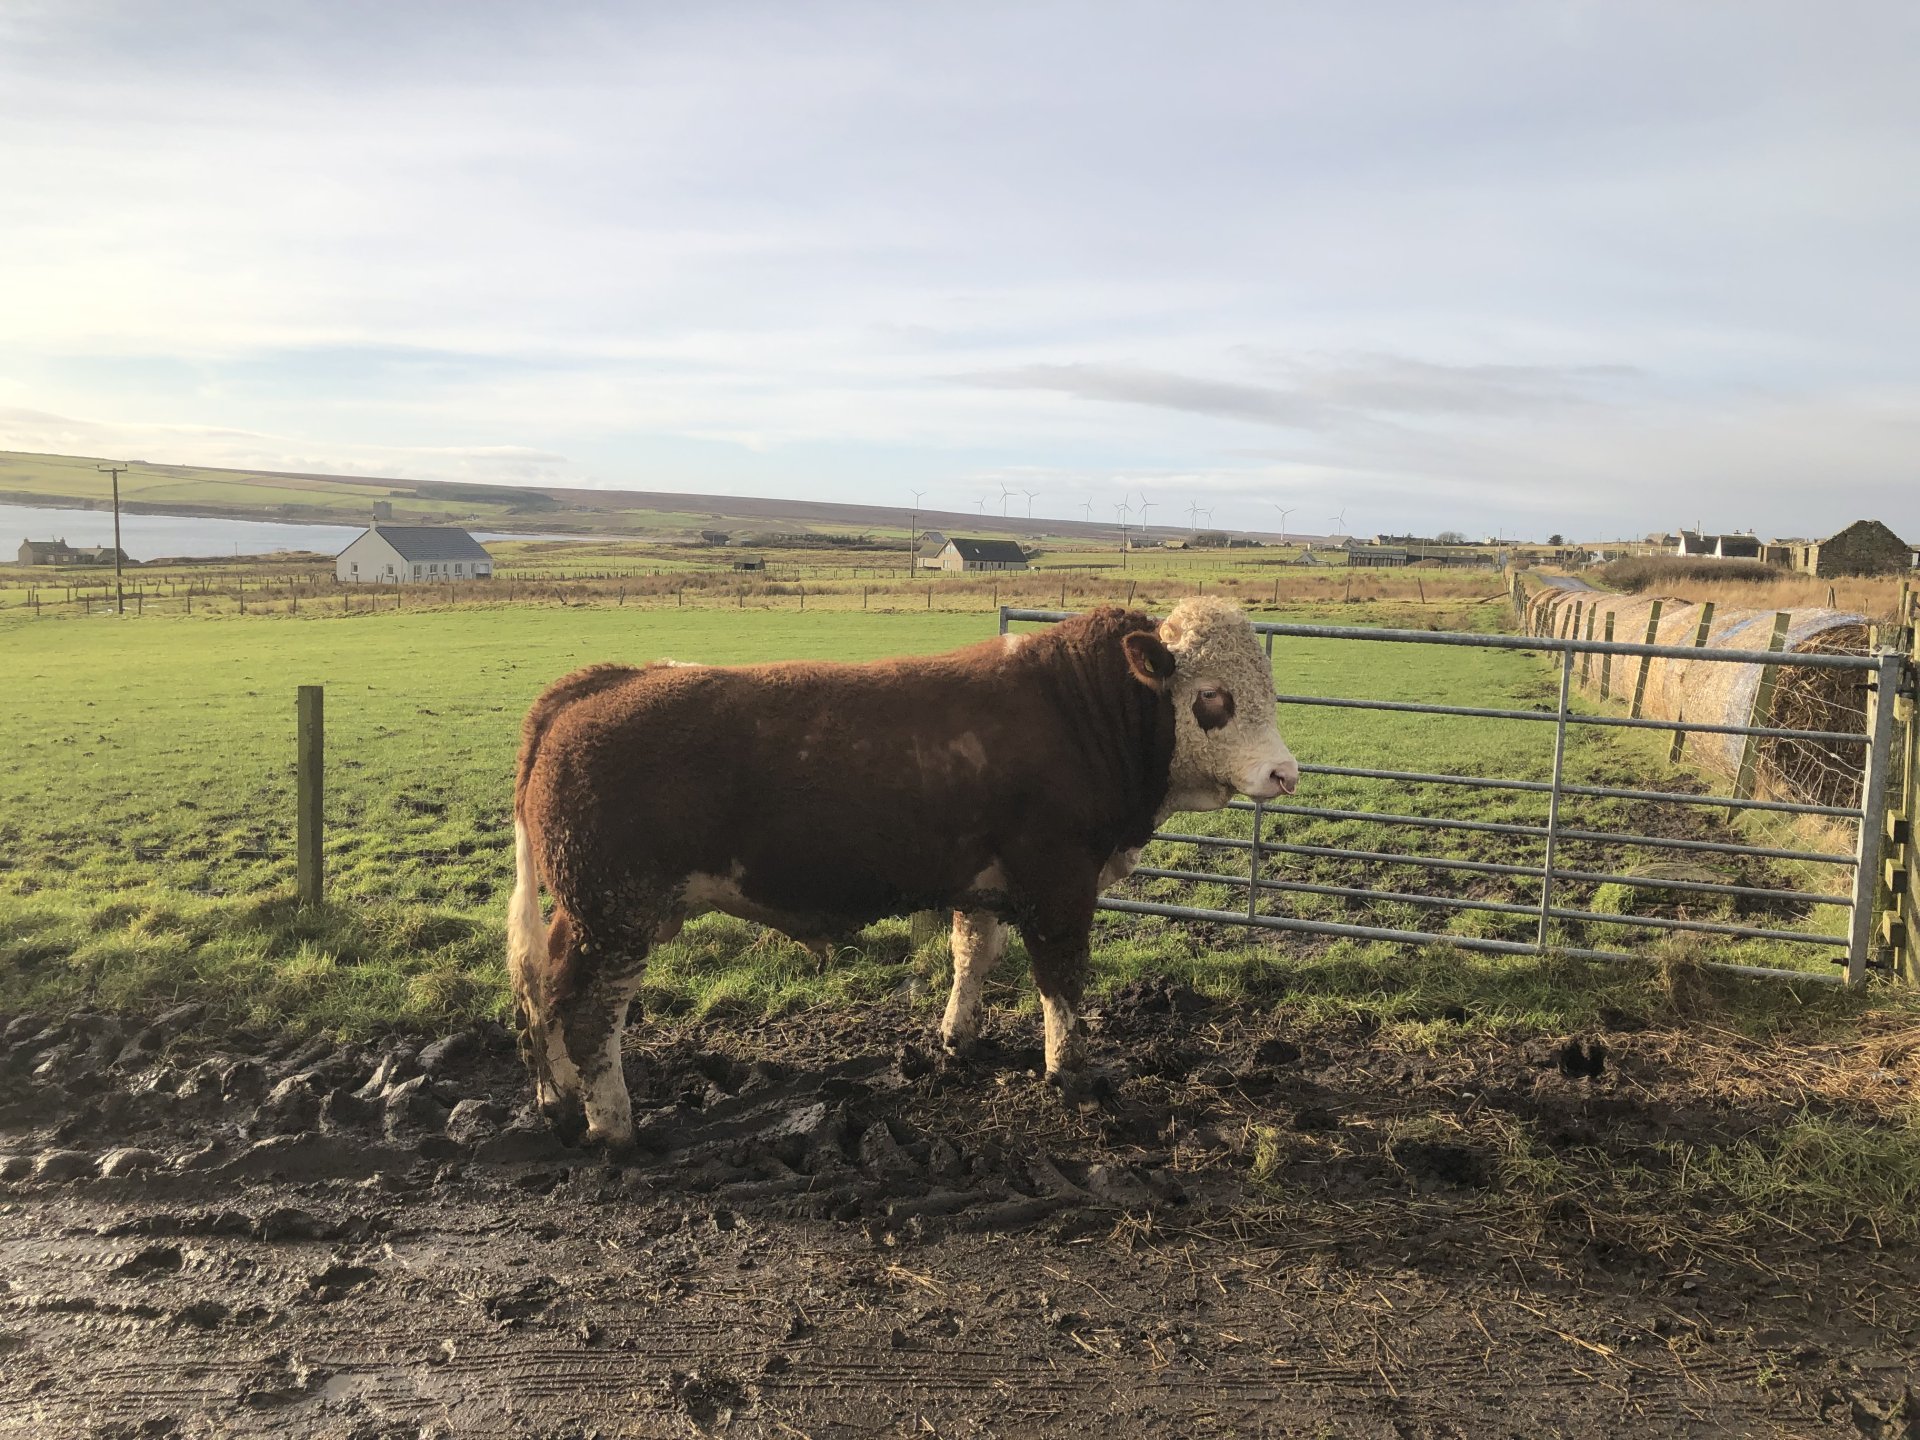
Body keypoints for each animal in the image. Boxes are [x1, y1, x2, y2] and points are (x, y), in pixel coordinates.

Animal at [506, 597, 1298, 1146]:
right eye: (1214, 696)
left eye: (1272, 689)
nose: (1284, 773)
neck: (1084, 714)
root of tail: (597, 686)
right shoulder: (1059, 884)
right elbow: (1063, 982)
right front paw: (1071, 1073)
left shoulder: (982, 883)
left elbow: (972, 956)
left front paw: (957, 1041)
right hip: (616, 915)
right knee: (591, 1016)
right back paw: (614, 1125)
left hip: (585, 914)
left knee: (543, 990)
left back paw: (559, 1102)